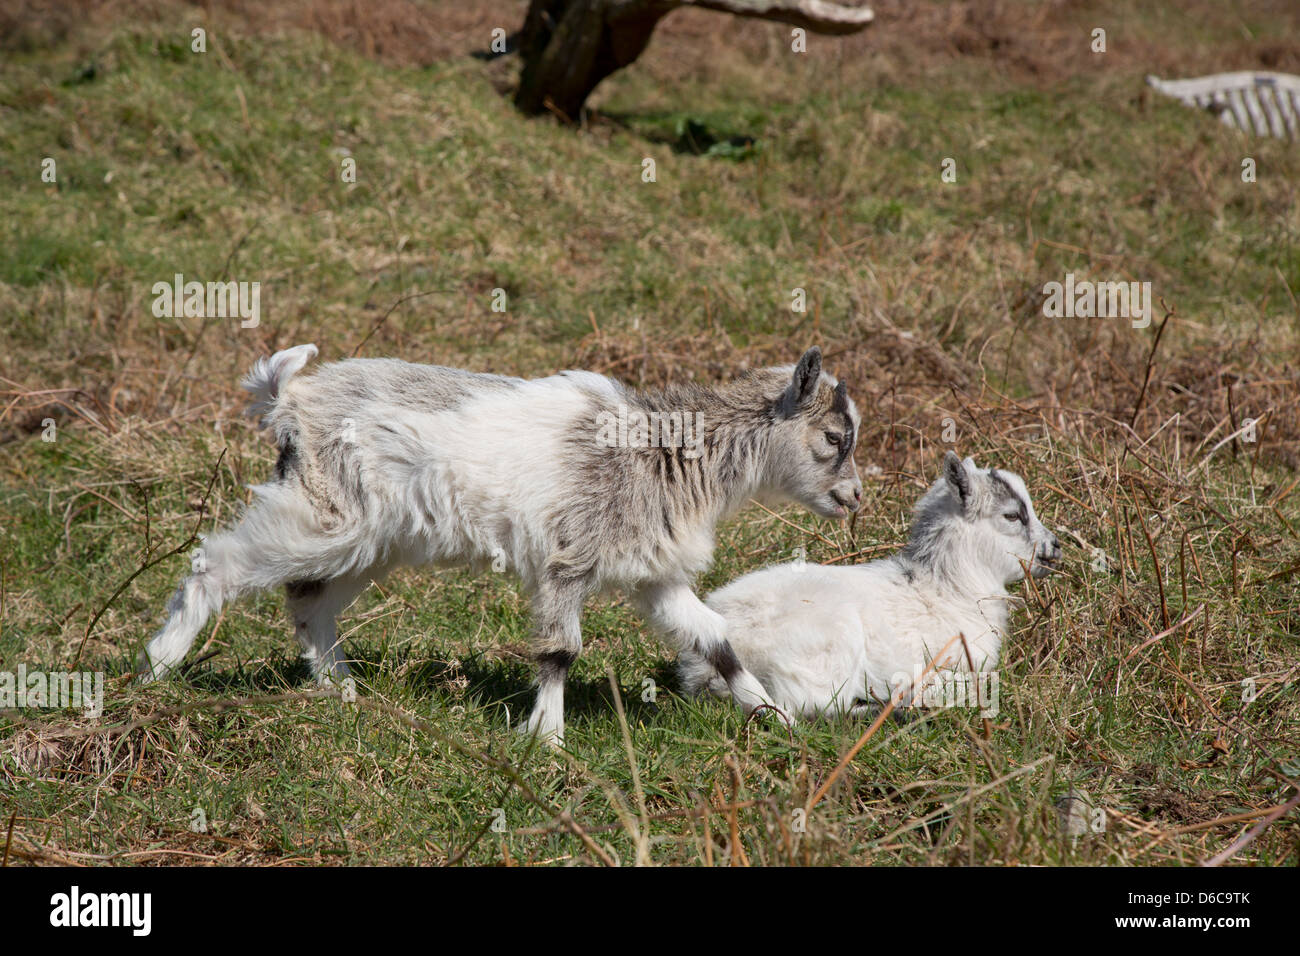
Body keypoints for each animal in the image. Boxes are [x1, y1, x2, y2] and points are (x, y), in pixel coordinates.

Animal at [140, 345, 863, 745]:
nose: (855, 498)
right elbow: (560, 649)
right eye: (834, 437)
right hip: (326, 514)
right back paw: (158, 665)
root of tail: (290, 396)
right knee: (219, 562)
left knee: (309, 597)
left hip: (370, 537)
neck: (664, 451)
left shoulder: (653, 575)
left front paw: (775, 719)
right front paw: (548, 740)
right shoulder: (569, 558)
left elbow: (716, 638)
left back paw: (339, 691)